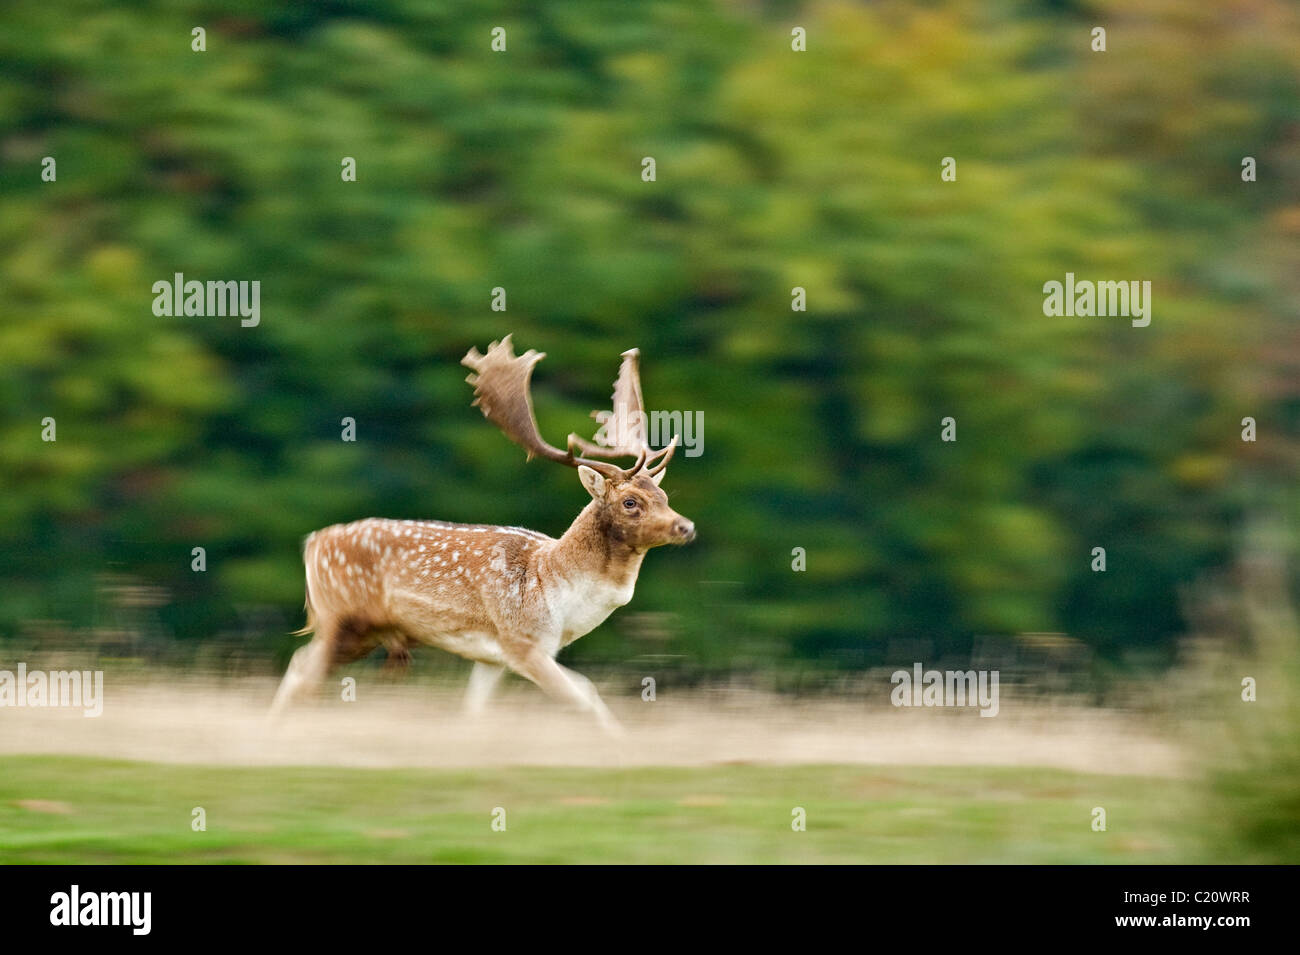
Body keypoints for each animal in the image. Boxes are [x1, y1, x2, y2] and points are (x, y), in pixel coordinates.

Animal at [269, 336, 695, 735]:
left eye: (664, 496)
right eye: (630, 501)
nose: (685, 526)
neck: (555, 587)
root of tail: (313, 543)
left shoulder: (494, 657)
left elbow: (476, 710)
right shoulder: (522, 640)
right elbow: (583, 696)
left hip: (361, 631)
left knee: (299, 665)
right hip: (340, 617)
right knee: (303, 672)